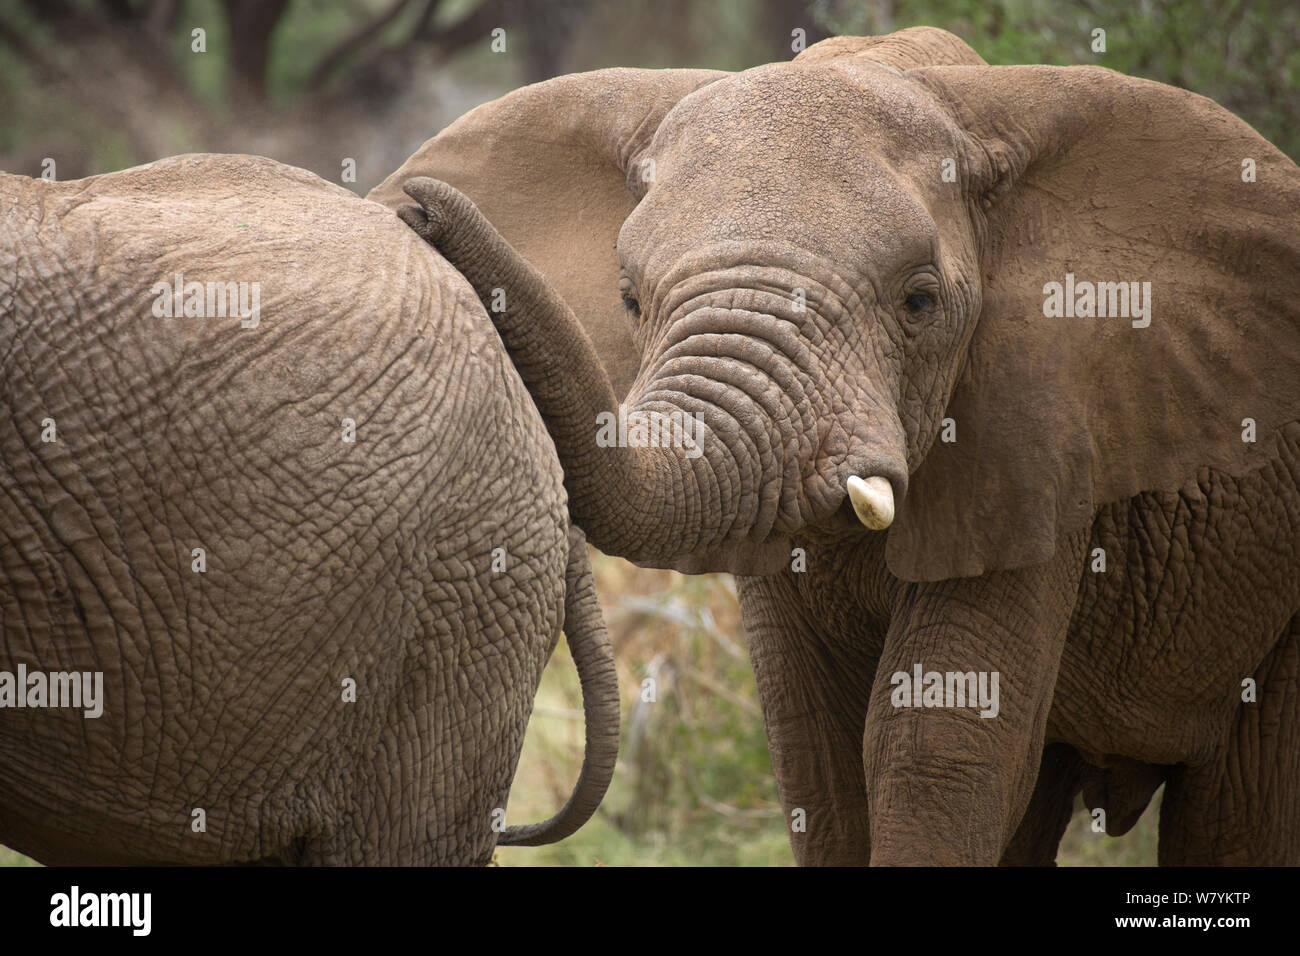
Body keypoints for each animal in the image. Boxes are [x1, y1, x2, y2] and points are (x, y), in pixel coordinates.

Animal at [373, 26, 1300, 865]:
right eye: (629, 299)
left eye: (921, 301)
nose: (418, 207)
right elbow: (814, 753)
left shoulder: (1036, 437)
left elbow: (937, 746)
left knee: (1241, 808)